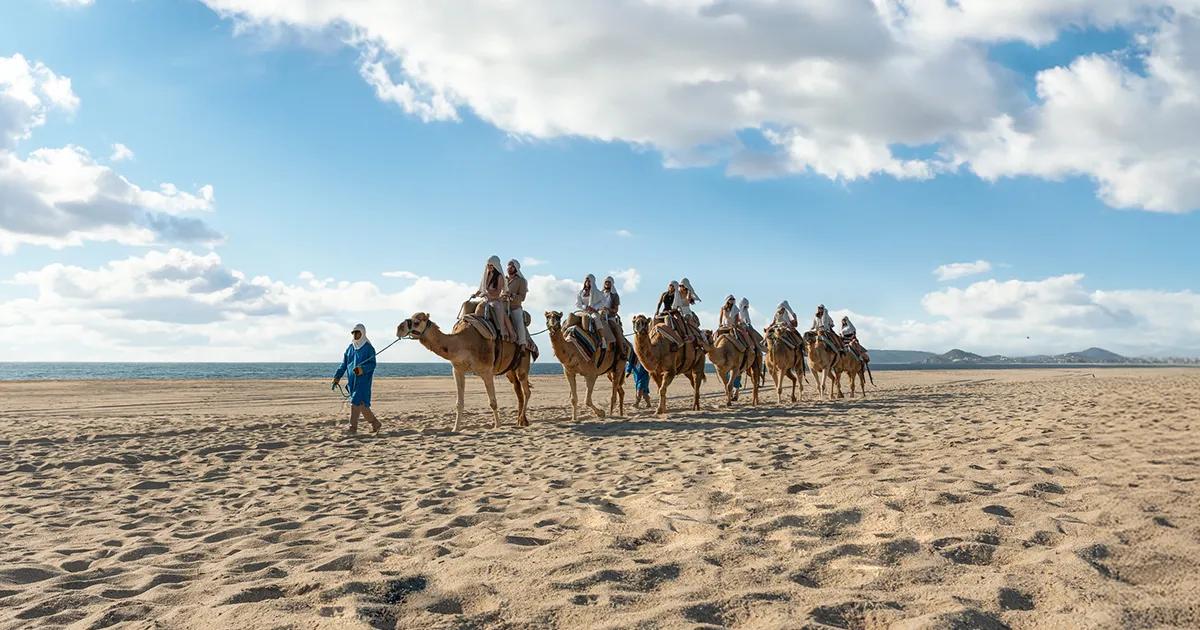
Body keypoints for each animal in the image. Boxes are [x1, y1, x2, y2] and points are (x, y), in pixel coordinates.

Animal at [396, 312, 532, 431]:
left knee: (526, 391)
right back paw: (520, 421)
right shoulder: (457, 370)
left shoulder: (487, 371)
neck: (462, 342)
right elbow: (459, 403)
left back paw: (521, 420)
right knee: (518, 390)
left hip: (523, 362)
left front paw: (497, 426)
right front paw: (455, 428)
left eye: (417, 322)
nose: (399, 329)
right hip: (510, 370)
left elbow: (493, 402)